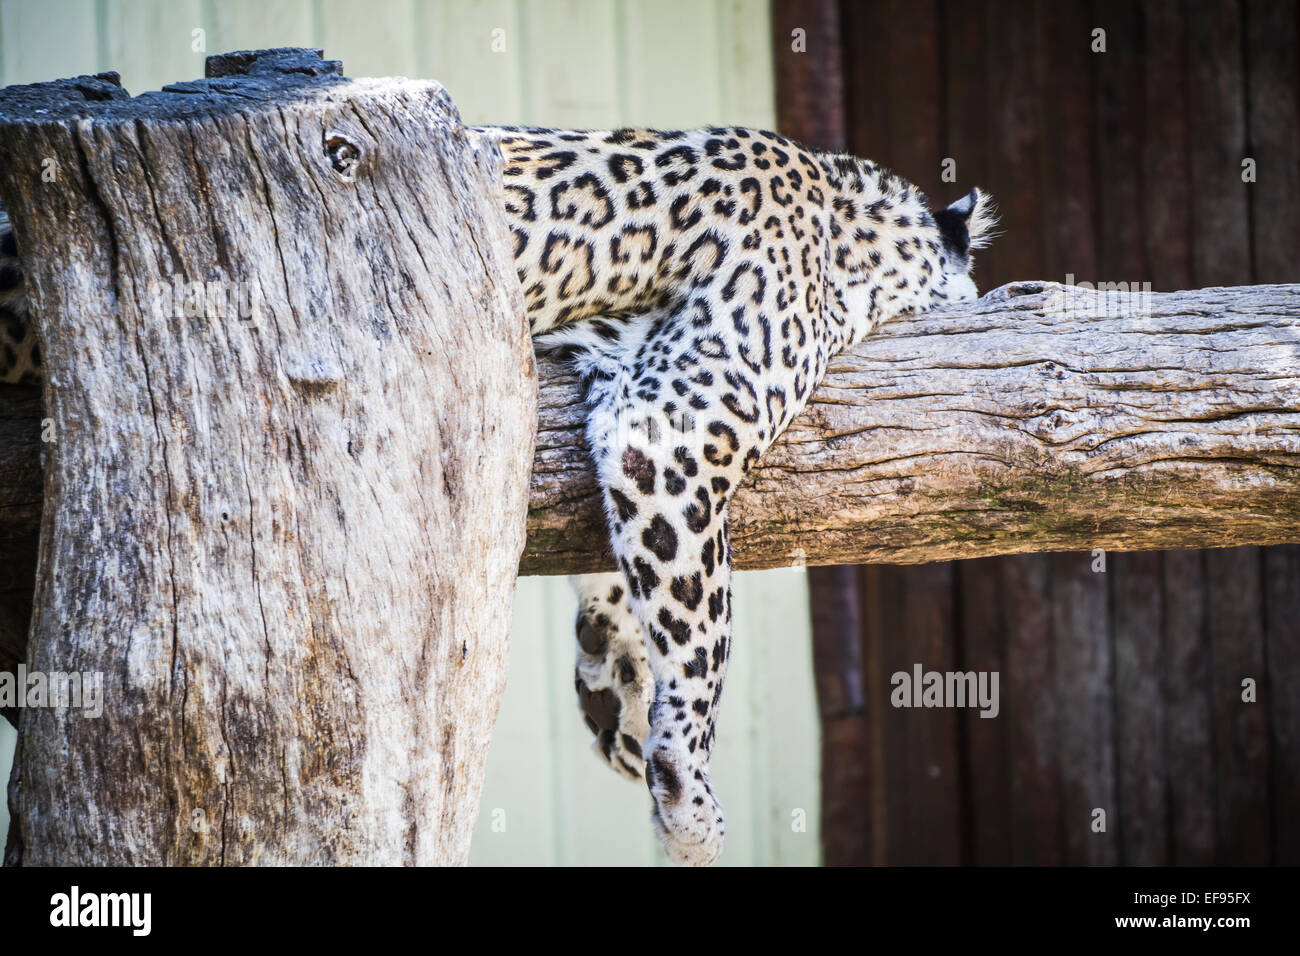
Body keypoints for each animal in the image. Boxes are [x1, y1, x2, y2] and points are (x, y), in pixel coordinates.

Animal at [0, 125, 996, 867]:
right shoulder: (672, 422)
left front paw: (616, 690)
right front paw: (690, 804)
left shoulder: (620, 389)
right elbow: (703, 625)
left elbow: (639, 573)